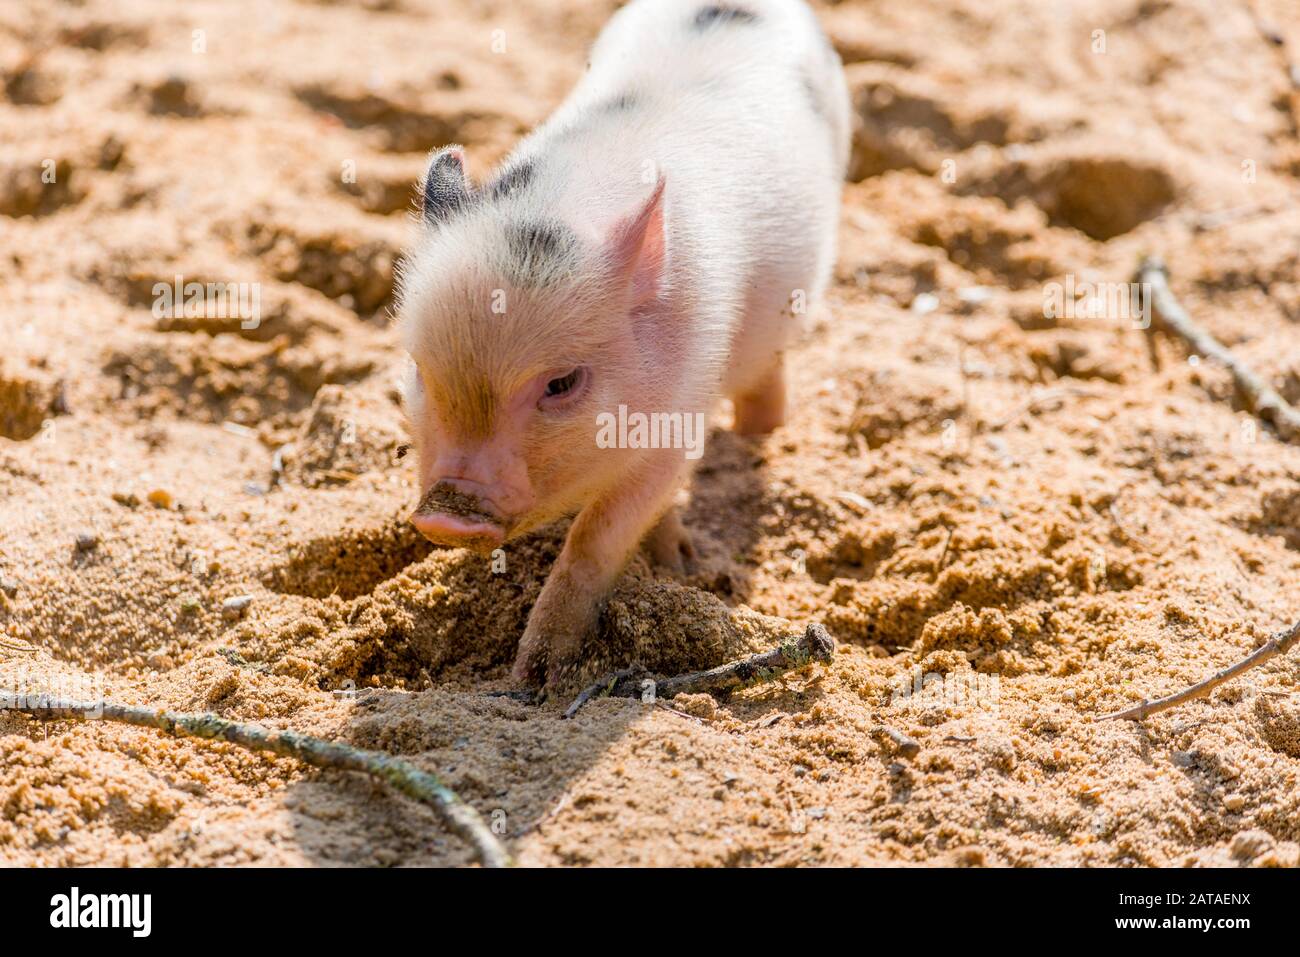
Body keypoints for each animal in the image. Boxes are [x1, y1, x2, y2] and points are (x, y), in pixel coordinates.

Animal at [397, 0, 850, 687]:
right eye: (421, 373)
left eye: (560, 383)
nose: (446, 512)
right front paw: (671, 561)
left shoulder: (680, 414)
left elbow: (595, 540)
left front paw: (536, 680)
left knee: (766, 384)